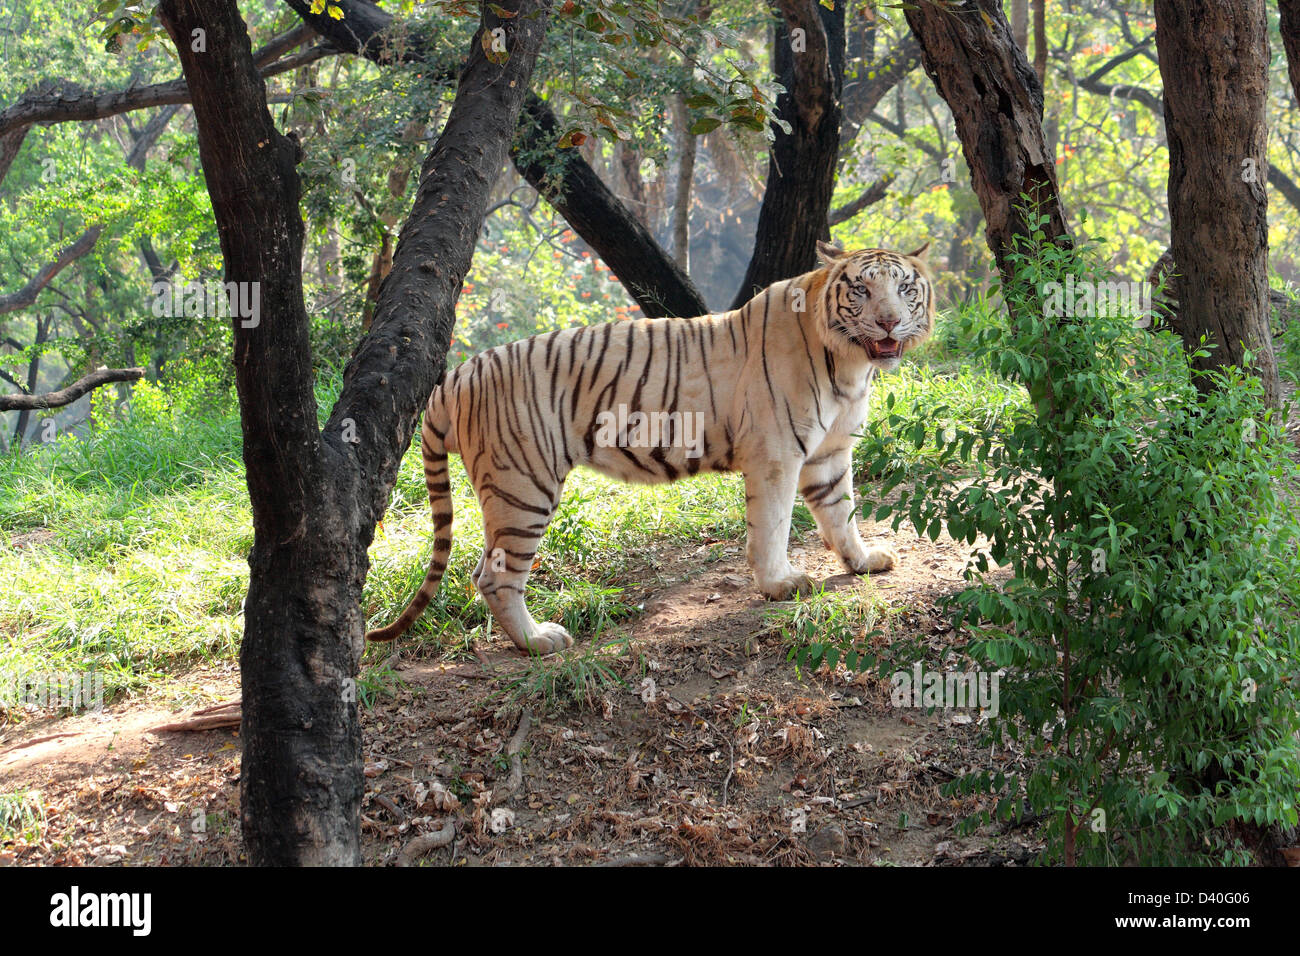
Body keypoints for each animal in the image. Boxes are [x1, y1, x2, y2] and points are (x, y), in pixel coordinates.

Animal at [366, 240, 936, 654]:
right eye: (860, 290)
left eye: (905, 288)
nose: (888, 321)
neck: (852, 364)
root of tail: (456, 376)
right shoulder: (777, 454)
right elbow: (773, 525)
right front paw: (779, 585)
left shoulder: (829, 452)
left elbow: (842, 513)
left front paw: (863, 561)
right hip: (522, 485)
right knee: (496, 576)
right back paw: (538, 642)